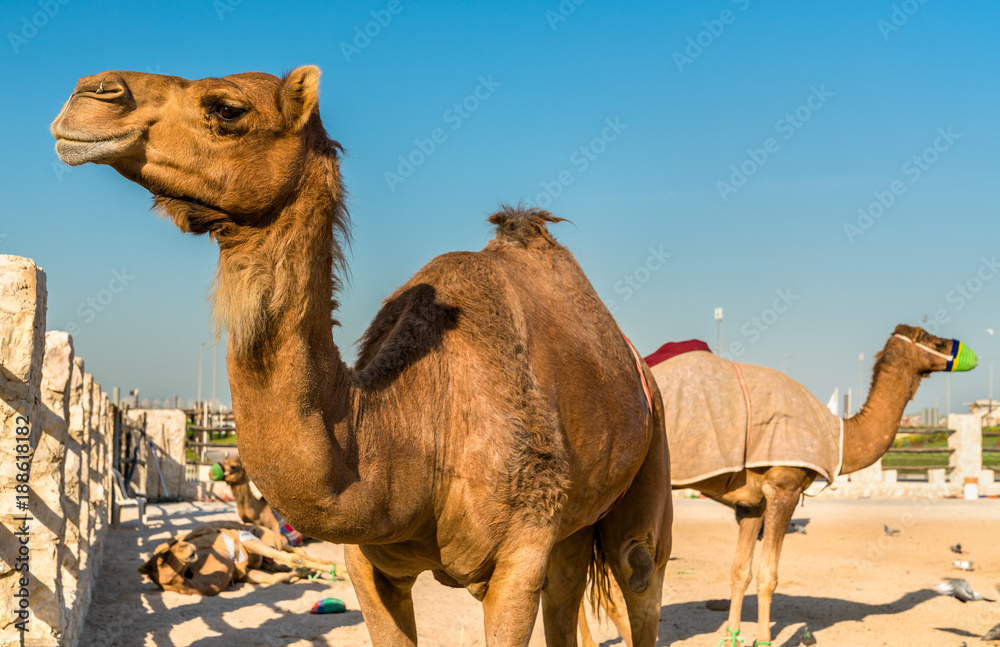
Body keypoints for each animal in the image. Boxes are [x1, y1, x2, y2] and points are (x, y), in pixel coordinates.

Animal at [51, 67, 673, 645]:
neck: (417, 432)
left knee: (638, 570)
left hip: (652, 444)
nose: (89, 92)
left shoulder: (517, 560)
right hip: (574, 518)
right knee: (568, 586)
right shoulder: (369, 563)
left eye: (227, 109)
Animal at [583, 324, 976, 646]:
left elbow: (740, 572)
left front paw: (732, 638)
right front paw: (762, 640)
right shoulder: (784, 486)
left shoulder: (752, 502)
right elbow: (768, 574)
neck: (837, 435)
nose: (968, 354)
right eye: (937, 342)